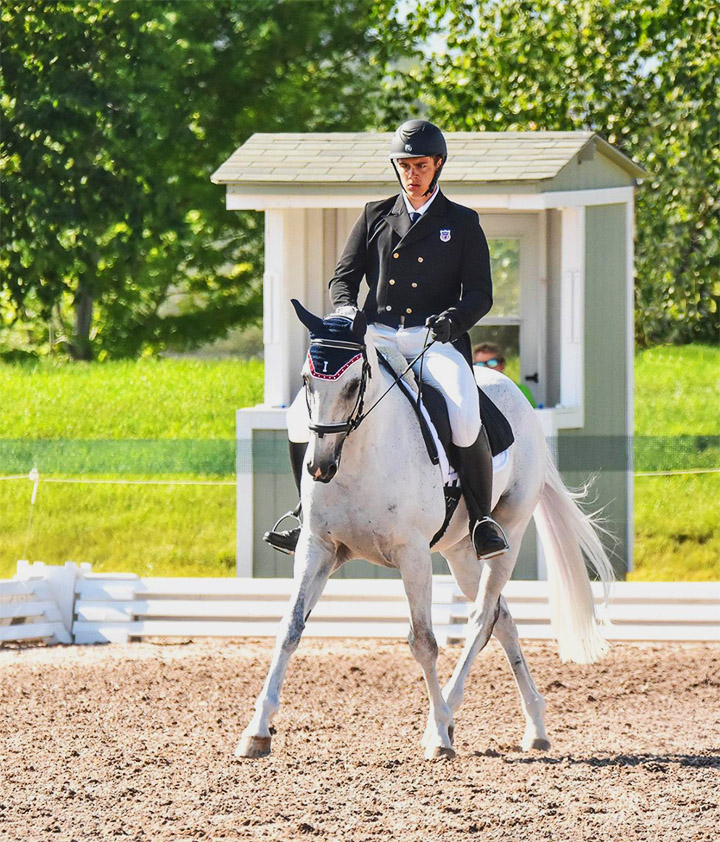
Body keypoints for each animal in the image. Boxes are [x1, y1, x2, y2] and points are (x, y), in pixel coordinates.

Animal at [236, 301, 614, 761]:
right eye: (308, 381)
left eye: (352, 385)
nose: (320, 467)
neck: (359, 454)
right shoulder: (317, 548)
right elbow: (289, 628)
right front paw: (257, 731)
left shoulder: (411, 554)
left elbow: (424, 641)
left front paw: (438, 737)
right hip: (461, 552)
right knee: (502, 618)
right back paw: (534, 726)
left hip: (508, 533)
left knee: (480, 617)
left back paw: (445, 721)